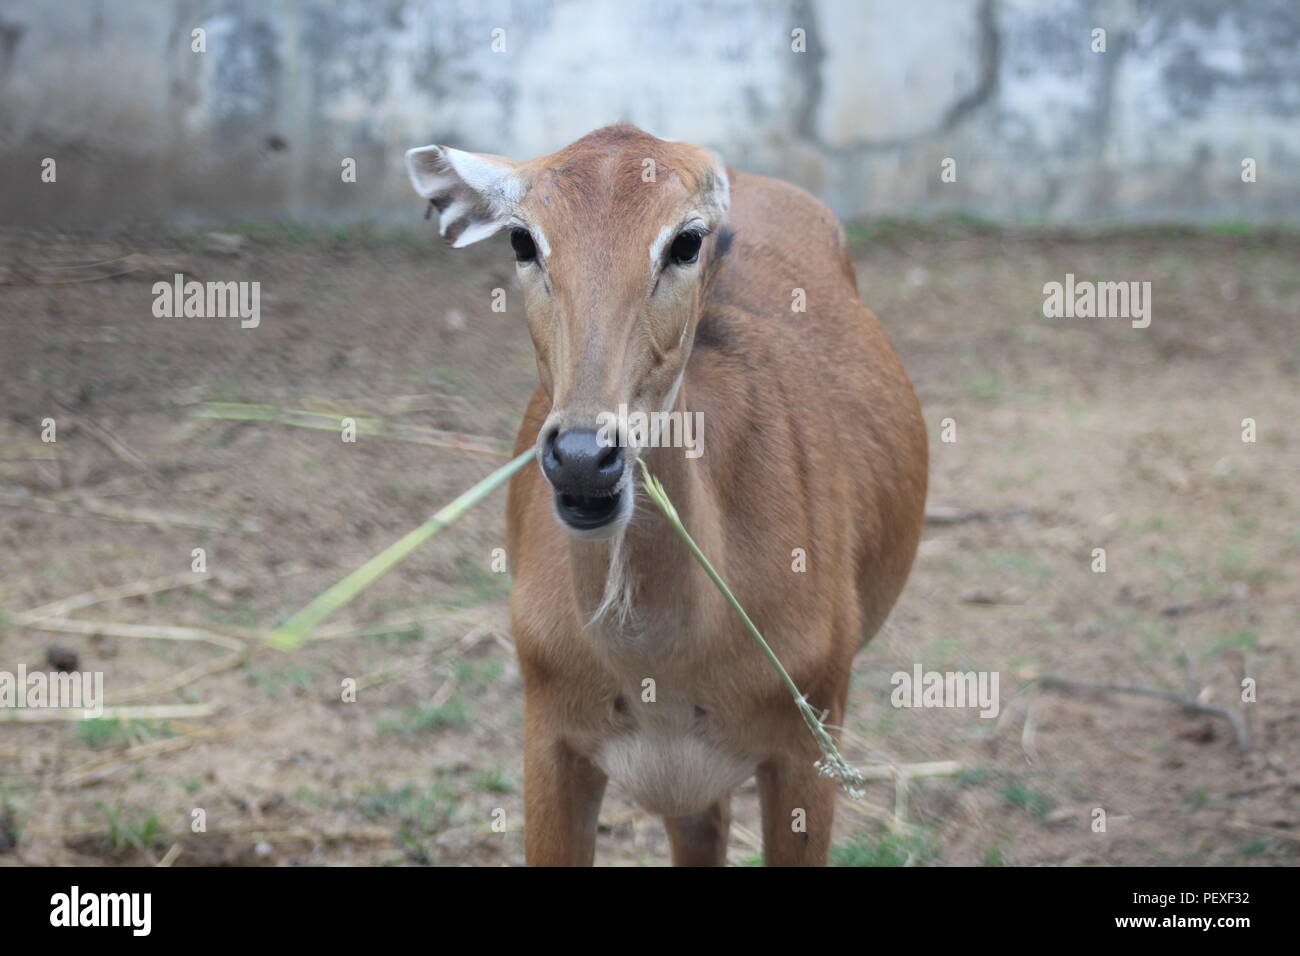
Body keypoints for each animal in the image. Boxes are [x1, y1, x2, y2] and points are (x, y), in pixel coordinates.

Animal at [405, 124, 927, 866]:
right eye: (522, 239)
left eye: (686, 240)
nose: (584, 458)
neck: (661, 675)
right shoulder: (550, 734)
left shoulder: (812, 732)